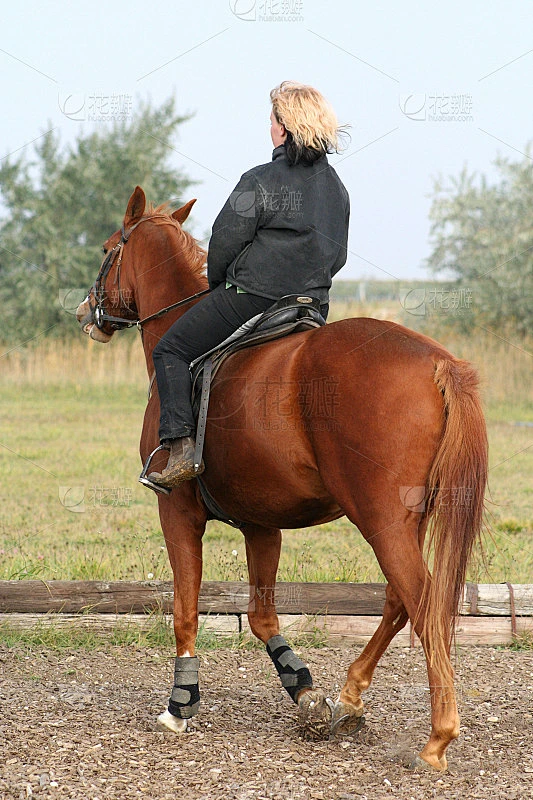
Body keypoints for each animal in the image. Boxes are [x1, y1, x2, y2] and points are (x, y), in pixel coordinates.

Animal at [76, 186, 488, 771]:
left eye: (110, 247)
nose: (87, 312)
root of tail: (437, 363)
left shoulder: (176, 511)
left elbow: (185, 609)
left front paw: (181, 704)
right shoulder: (261, 523)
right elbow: (263, 616)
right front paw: (305, 691)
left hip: (381, 518)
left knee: (422, 601)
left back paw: (437, 737)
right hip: (408, 518)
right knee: (399, 601)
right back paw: (350, 697)